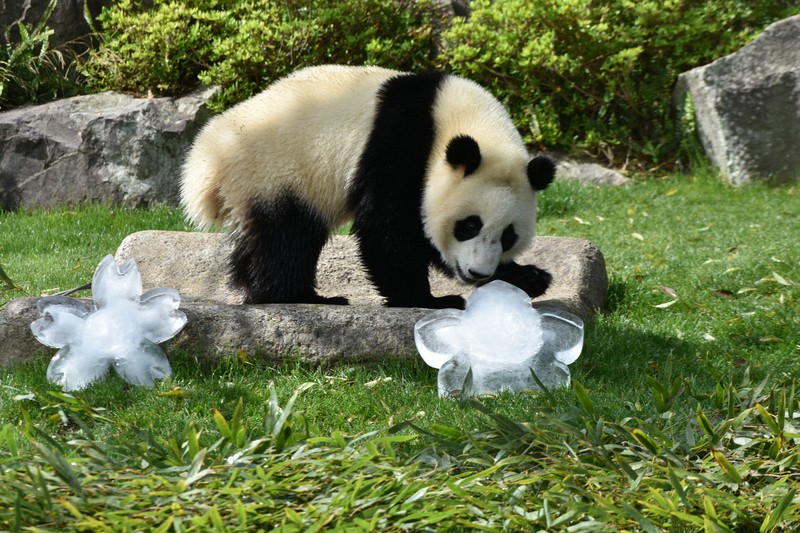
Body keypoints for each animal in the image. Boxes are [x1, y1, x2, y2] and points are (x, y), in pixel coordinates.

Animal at [181, 65, 555, 309]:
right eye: (469, 225)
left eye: (509, 235)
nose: (476, 272)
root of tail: (206, 161)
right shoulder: (401, 144)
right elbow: (389, 229)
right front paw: (429, 300)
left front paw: (529, 277)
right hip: (278, 169)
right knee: (287, 236)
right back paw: (300, 296)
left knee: (259, 238)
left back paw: (247, 290)